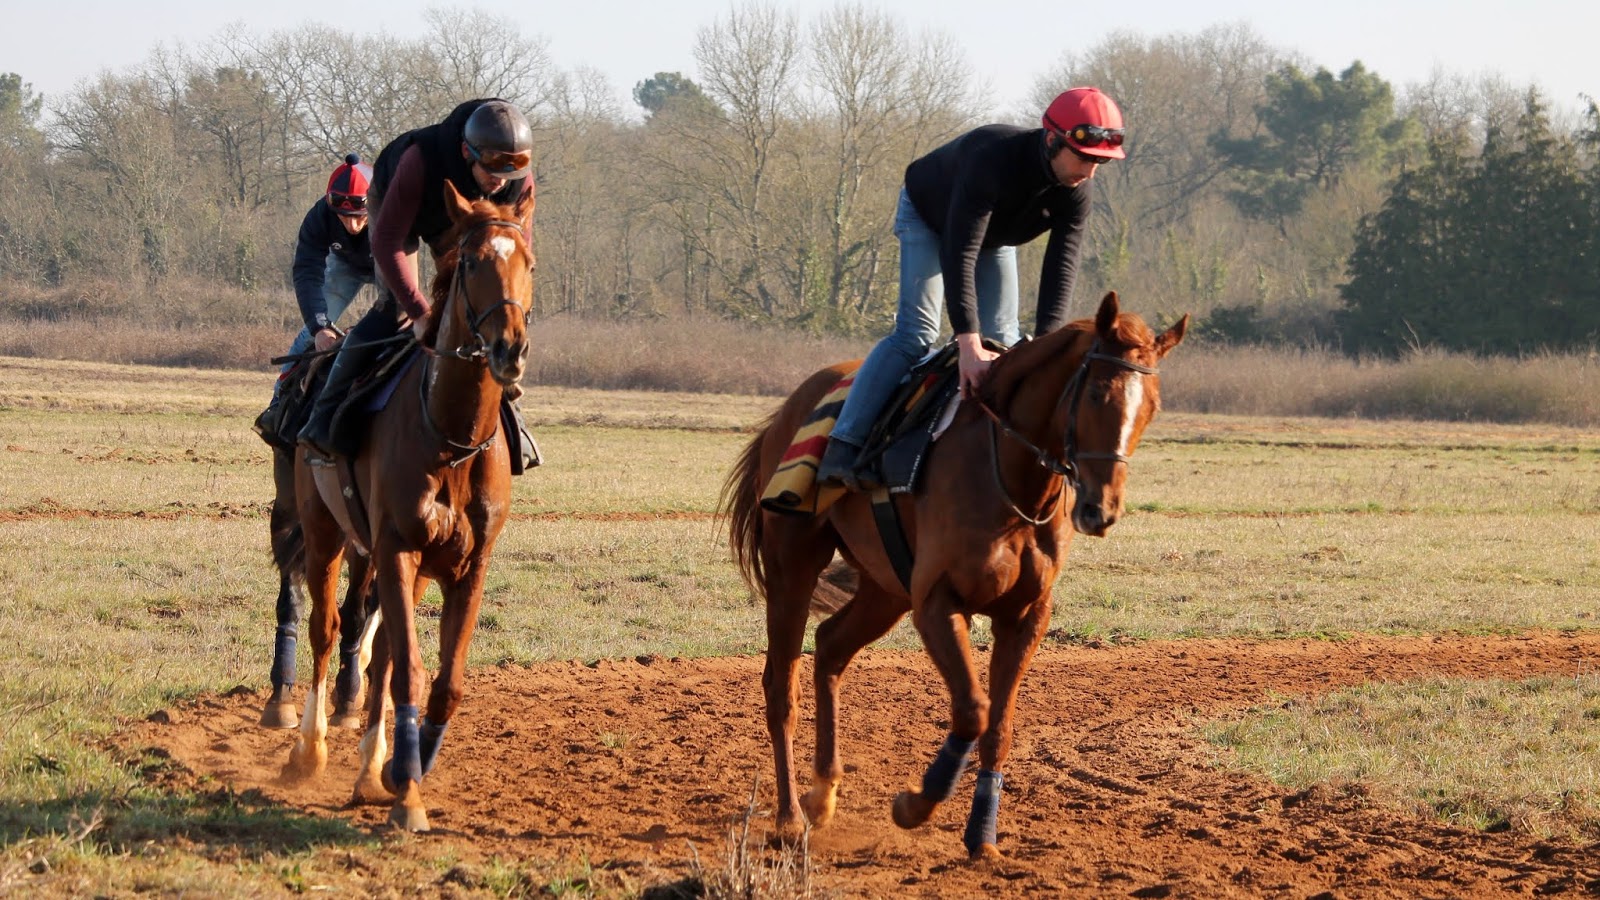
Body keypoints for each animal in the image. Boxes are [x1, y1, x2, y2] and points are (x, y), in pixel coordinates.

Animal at [277, 180, 533, 832]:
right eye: (471, 262)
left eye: (529, 263)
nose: (510, 347)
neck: (452, 437)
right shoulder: (394, 548)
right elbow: (407, 669)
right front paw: (408, 797)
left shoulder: (469, 565)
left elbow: (438, 679)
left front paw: (401, 772)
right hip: (324, 533)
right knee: (325, 630)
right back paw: (309, 750)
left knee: (382, 654)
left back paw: (372, 768)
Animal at [722, 292, 1186, 859]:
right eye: (1098, 393)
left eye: (1152, 406)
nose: (1102, 509)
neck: (1008, 474)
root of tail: (789, 410)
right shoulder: (937, 602)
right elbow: (972, 709)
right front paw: (916, 802)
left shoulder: (1025, 615)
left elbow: (999, 725)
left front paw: (982, 833)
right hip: (794, 563)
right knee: (780, 686)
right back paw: (790, 816)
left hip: (885, 588)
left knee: (830, 646)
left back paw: (823, 792)